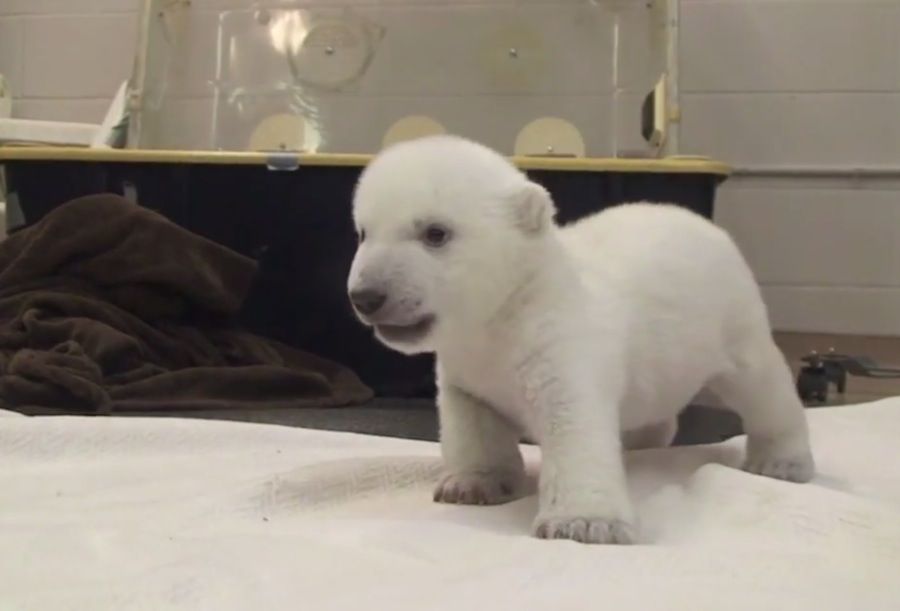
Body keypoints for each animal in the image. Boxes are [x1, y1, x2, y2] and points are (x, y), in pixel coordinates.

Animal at [346, 134, 815, 544]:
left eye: (435, 233)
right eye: (364, 232)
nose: (366, 296)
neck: (508, 310)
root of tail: (702, 222)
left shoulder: (560, 342)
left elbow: (573, 423)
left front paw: (585, 524)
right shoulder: (468, 366)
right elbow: (472, 421)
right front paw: (471, 485)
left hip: (733, 320)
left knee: (762, 384)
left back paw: (782, 461)